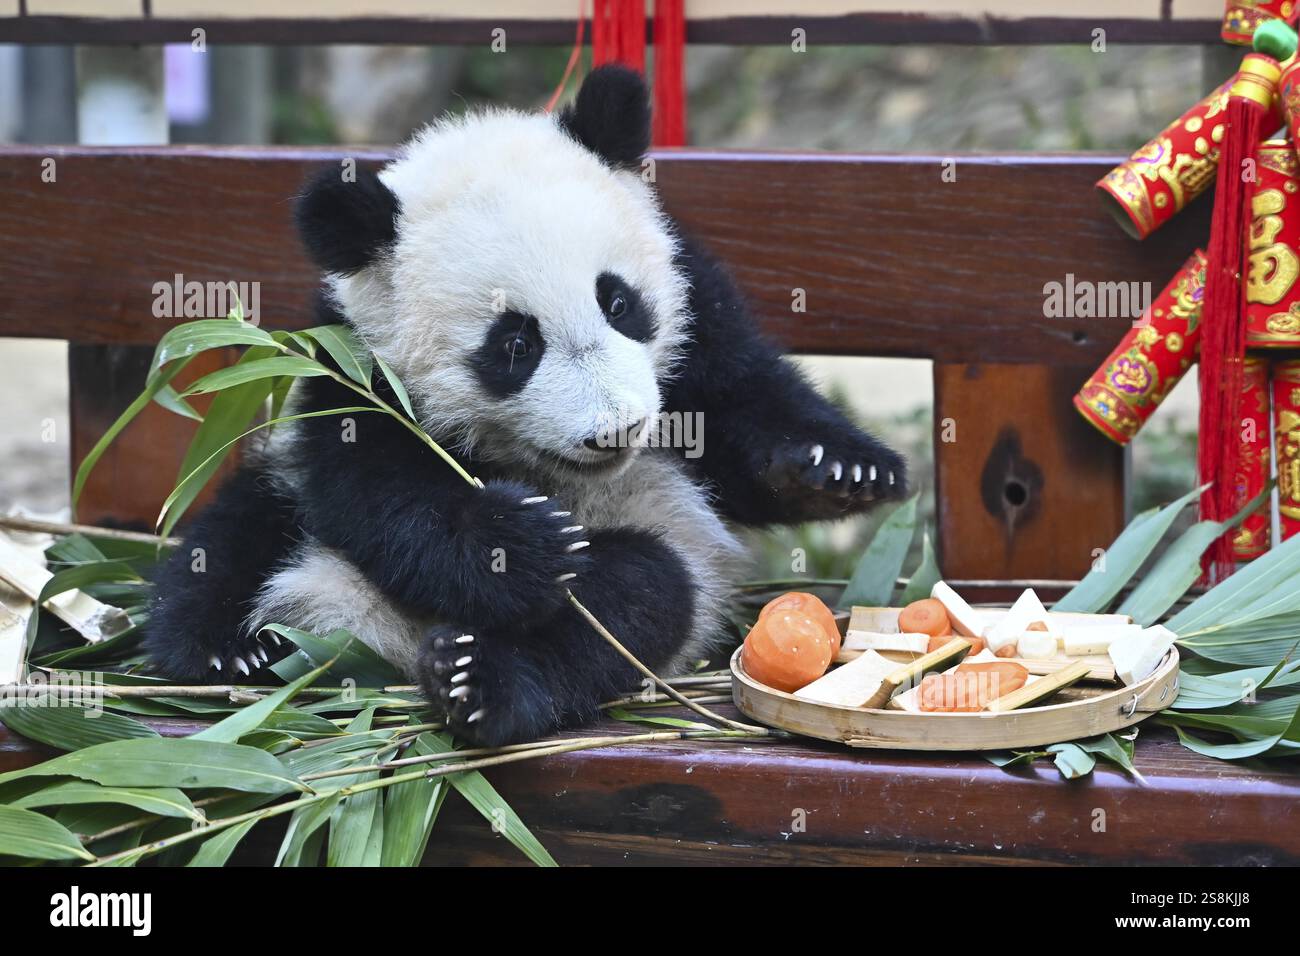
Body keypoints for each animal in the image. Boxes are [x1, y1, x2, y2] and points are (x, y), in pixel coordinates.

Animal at [146, 66, 907, 747]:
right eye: (514, 345)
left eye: (619, 303)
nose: (618, 430)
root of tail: (381, 635)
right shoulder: (351, 362)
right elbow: (374, 492)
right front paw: (518, 544)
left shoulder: (696, 318)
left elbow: (742, 411)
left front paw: (838, 472)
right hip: (283, 499)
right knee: (234, 540)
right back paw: (231, 646)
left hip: (675, 548)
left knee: (632, 598)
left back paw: (475, 677)